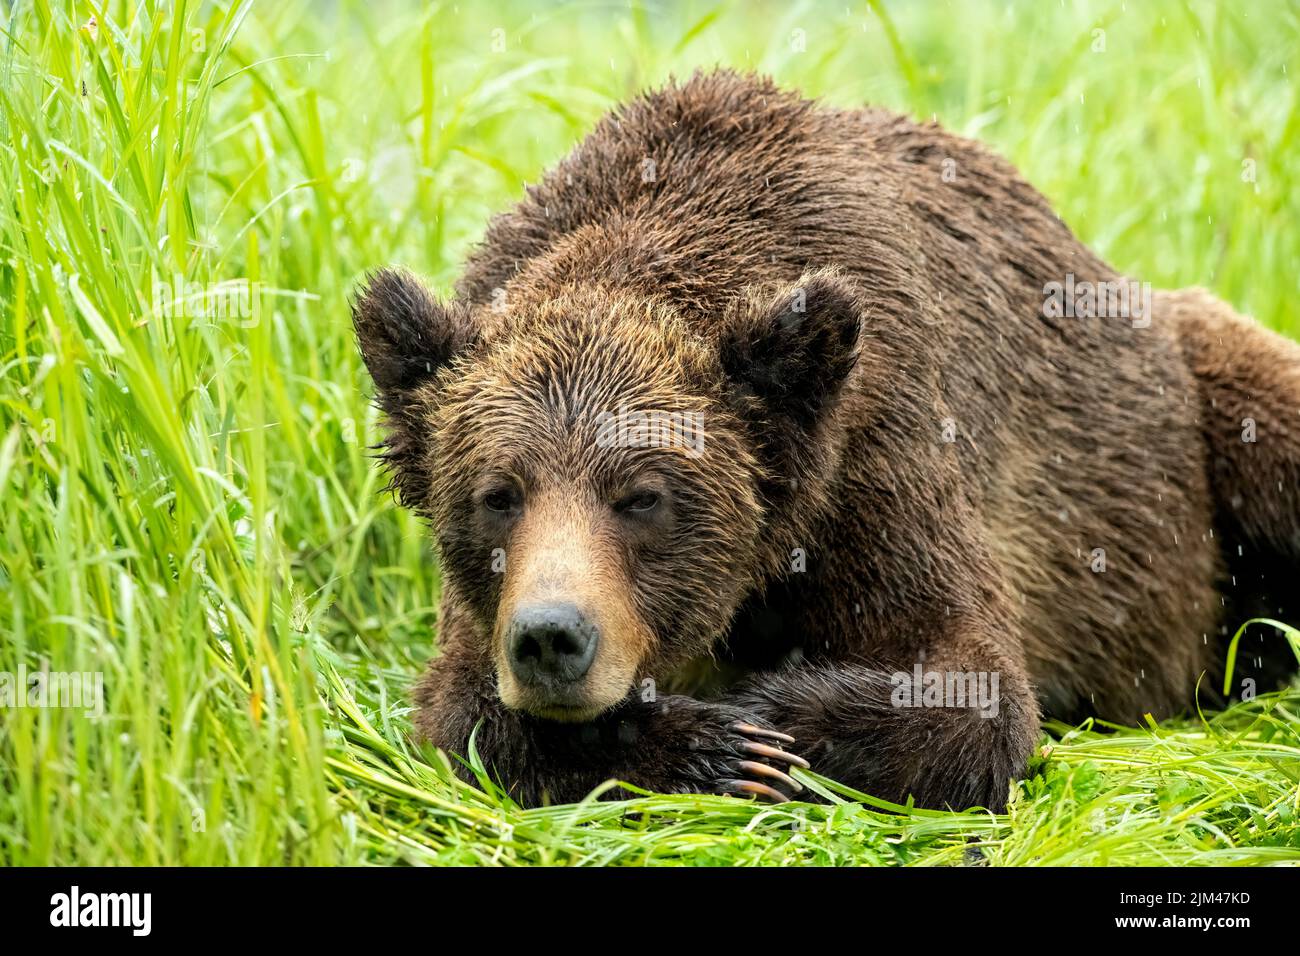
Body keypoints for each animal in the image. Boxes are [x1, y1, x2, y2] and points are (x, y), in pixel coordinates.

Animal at [352, 70, 1300, 811]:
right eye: (497, 493)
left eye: (643, 495)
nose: (551, 637)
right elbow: (464, 714)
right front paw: (710, 745)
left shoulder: (881, 448)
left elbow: (974, 685)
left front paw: (768, 722)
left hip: (1202, 406)